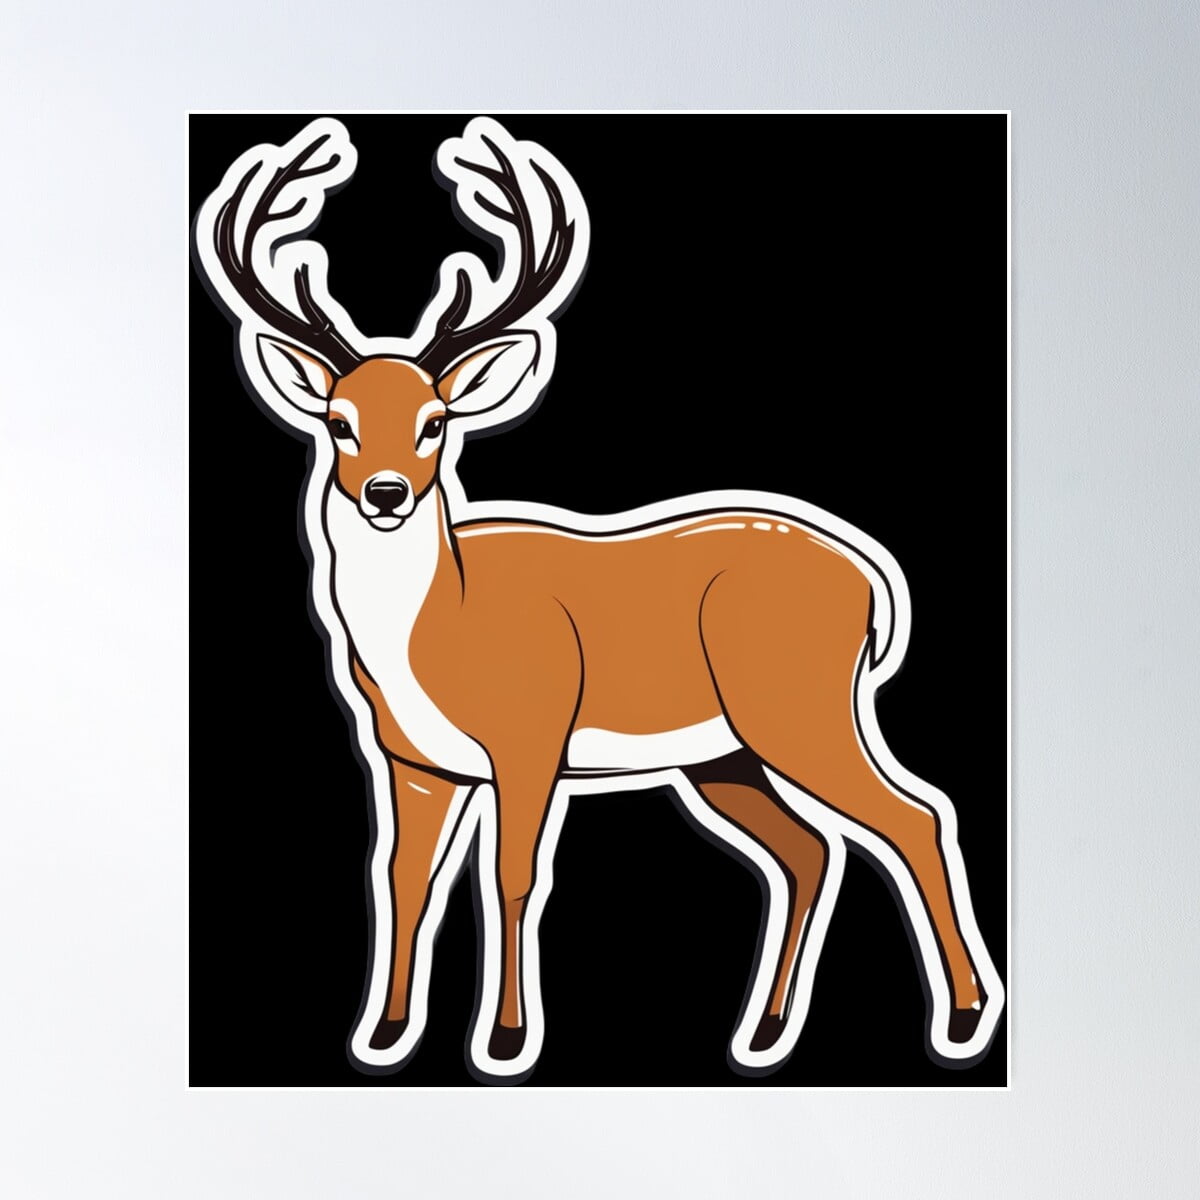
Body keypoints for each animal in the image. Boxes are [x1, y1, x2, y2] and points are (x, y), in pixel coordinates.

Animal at [192, 116, 1004, 1083]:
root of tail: (875, 580)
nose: (386, 493)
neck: (438, 629)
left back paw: (962, 1017)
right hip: (722, 755)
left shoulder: (531, 732)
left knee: (913, 816)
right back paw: (764, 1032)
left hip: (798, 706)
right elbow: (401, 879)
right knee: (811, 848)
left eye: (435, 422)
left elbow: (512, 877)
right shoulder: (411, 759)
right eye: (339, 422)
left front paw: (505, 1040)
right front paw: (385, 1036)